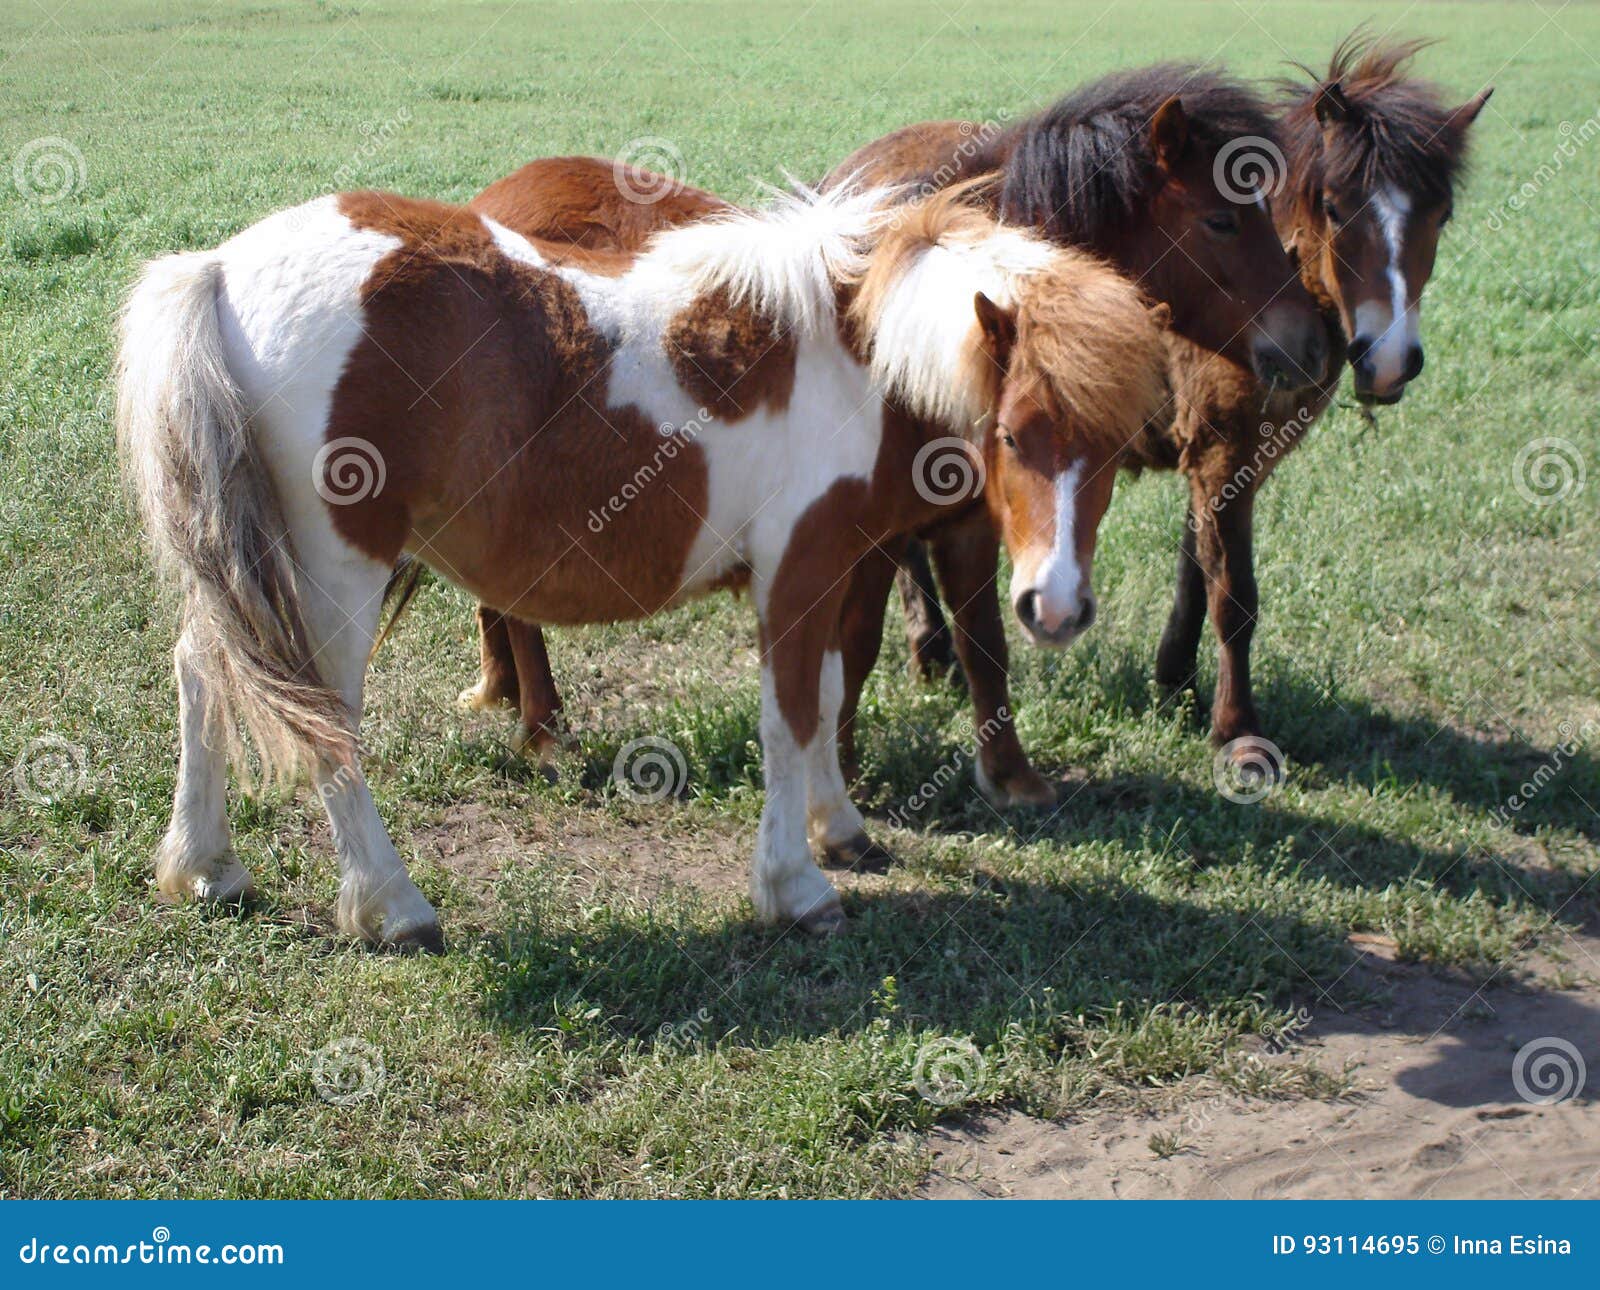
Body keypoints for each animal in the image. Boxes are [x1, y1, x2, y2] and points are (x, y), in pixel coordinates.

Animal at [117, 179, 1171, 949]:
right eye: (1013, 433)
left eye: (1115, 445)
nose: (1054, 608)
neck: (858, 352)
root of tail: (220, 269)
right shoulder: (796, 568)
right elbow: (792, 714)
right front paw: (795, 885)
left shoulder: (829, 570)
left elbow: (829, 694)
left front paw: (840, 827)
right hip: (335, 575)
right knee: (323, 720)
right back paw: (393, 906)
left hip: (253, 570)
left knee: (201, 672)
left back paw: (206, 866)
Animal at [464, 62, 1328, 807]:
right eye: (1222, 219)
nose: (1309, 340)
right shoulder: (868, 535)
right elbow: (857, 643)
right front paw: (842, 770)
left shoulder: (972, 523)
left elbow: (984, 640)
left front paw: (1008, 773)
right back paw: (545, 725)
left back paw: (505, 690)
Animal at [868, 37, 1492, 764]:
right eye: (1335, 207)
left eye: (1441, 215)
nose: (1389, 359)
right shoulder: (1222, 454)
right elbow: (1234, 595)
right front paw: (1238, 729)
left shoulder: (1233, 460)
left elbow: (1198, 571)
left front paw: (1175, 682)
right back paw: (931, 647)